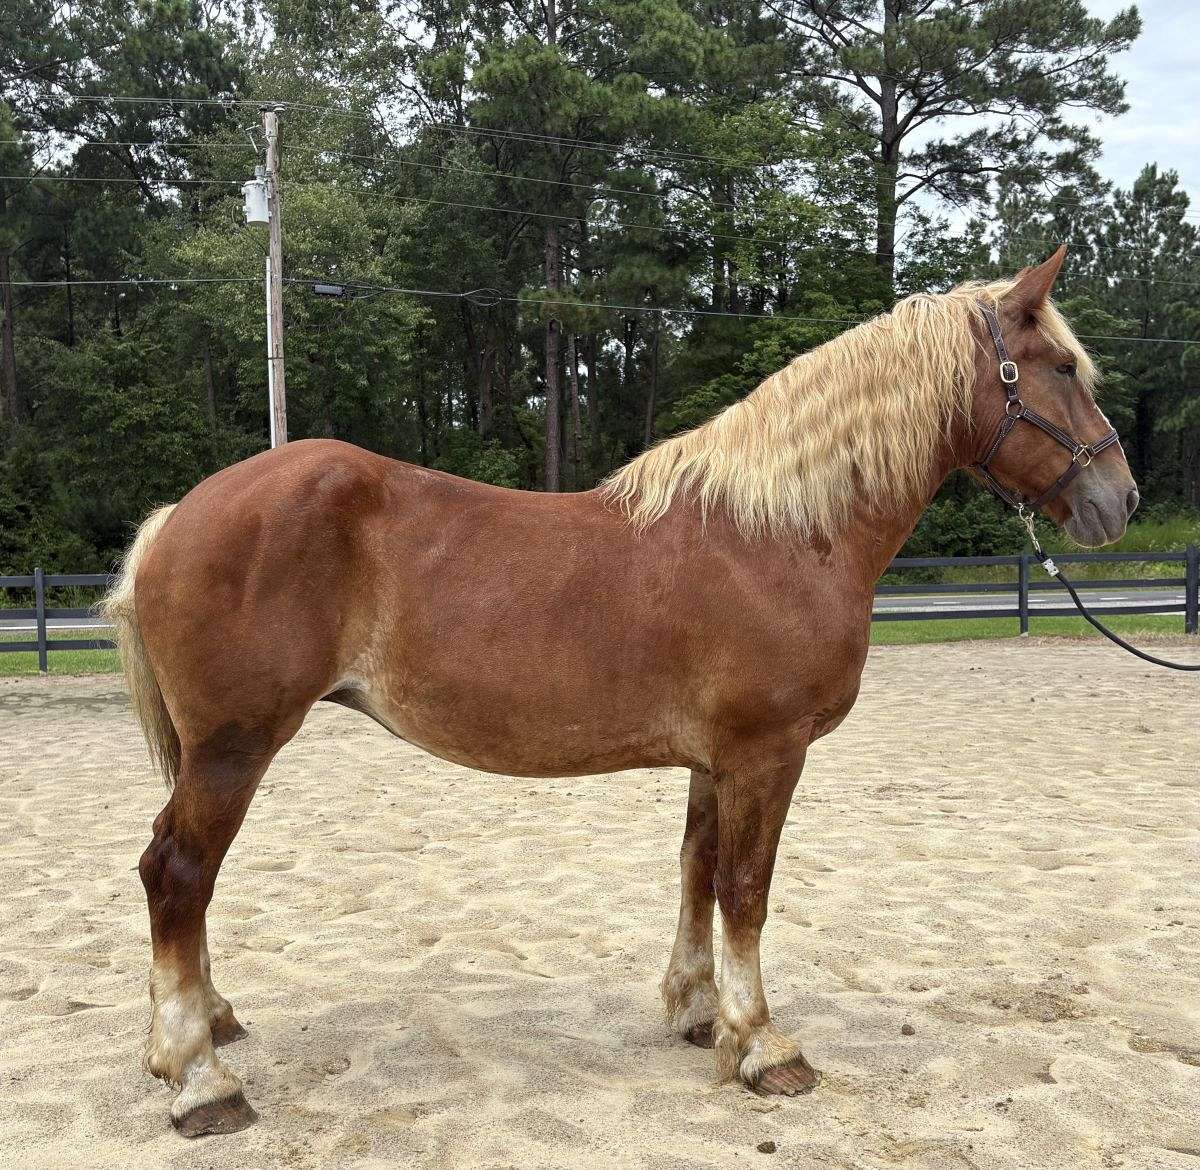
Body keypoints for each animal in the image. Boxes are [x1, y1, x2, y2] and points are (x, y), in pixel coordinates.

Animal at [102, 246, 1137, 1136]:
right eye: (1058, 367)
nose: (1120, 500)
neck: (778, 533)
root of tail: (178, 515)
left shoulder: (717, 761)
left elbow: (697, 872)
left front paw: (699, 1015)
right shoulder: (767, 753)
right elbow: (747, 891)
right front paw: (765, 1047)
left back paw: (207, 1025)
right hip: (235, 747)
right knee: (178, 875)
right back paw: (201, 1079)